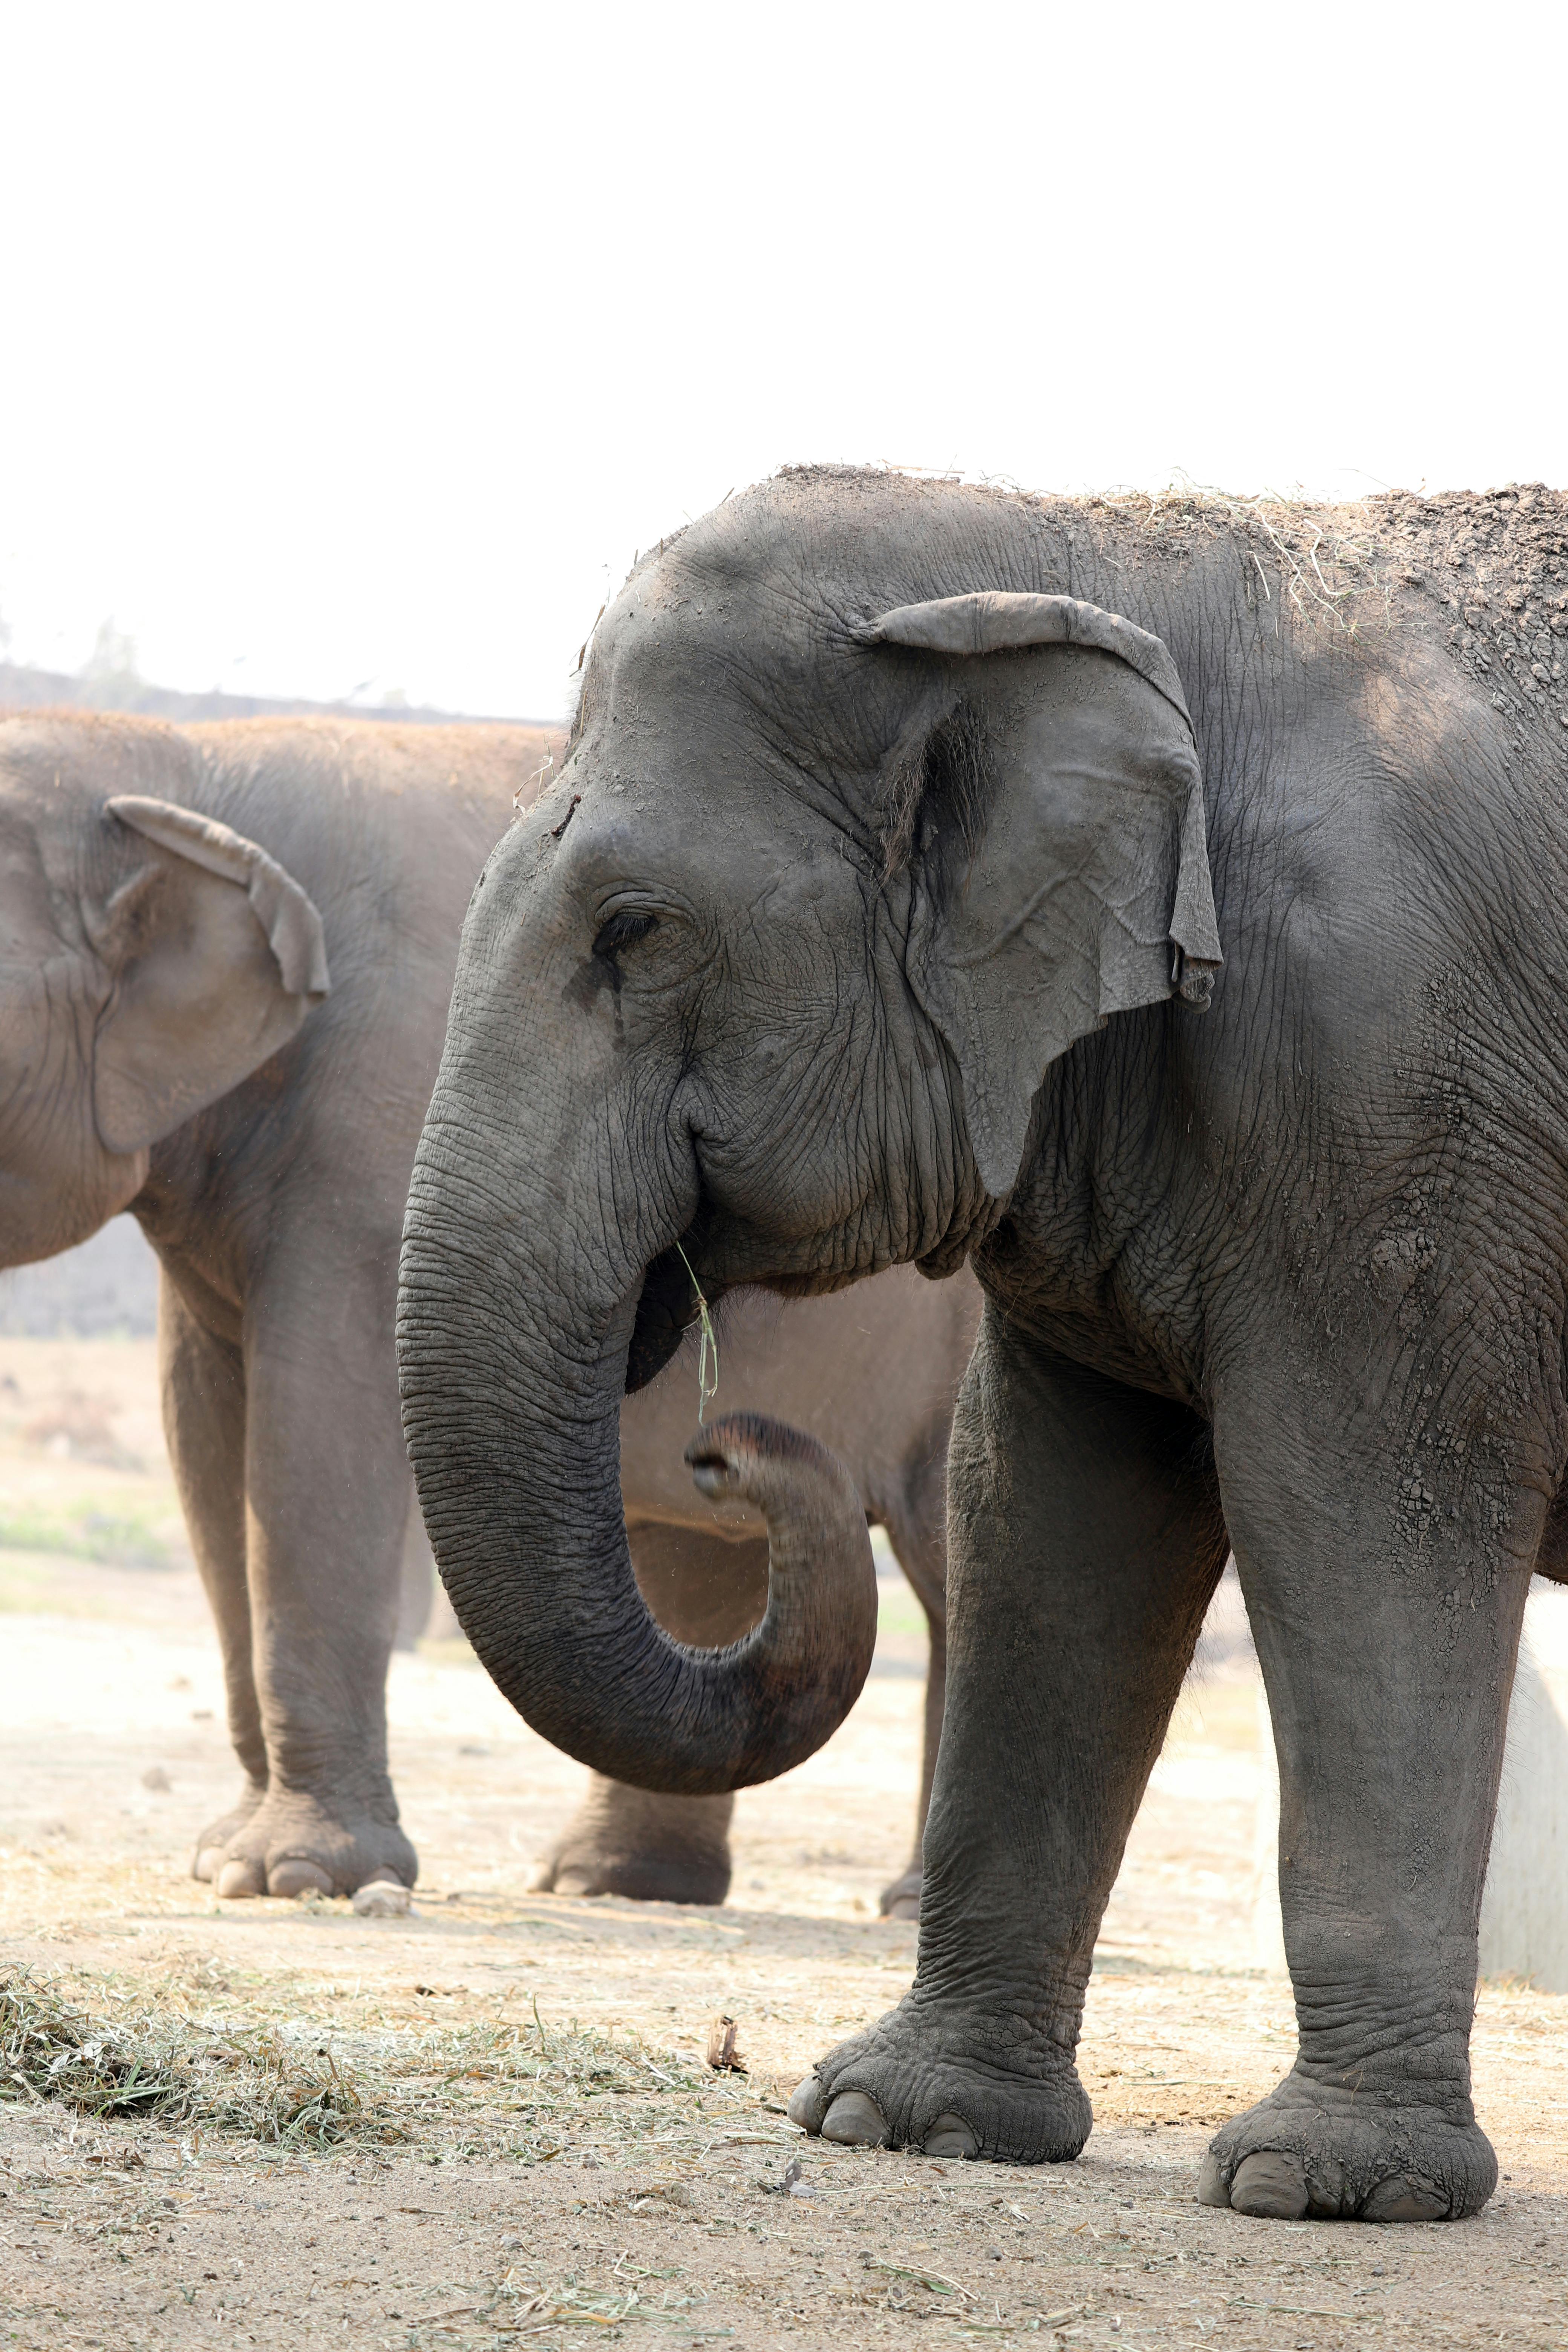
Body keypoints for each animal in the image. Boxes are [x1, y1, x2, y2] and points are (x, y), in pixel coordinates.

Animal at [0, 708, 965, 1903]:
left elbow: (314, 1432)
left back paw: (902, 1903)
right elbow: (206, 1436)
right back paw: (615, 1885)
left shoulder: (372, 1142)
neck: (180, 760)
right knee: (710, 1553)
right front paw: (229, 1862)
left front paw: (298, 1877)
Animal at [398, 467, 1568, 2223]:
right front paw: (901, 2120)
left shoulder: (1393, 1081)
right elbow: (1047, 1520)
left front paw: (1323, 2185)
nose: (721, 1444)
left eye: (633, 928)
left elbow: (1362, 1513)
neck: (1072, 544)